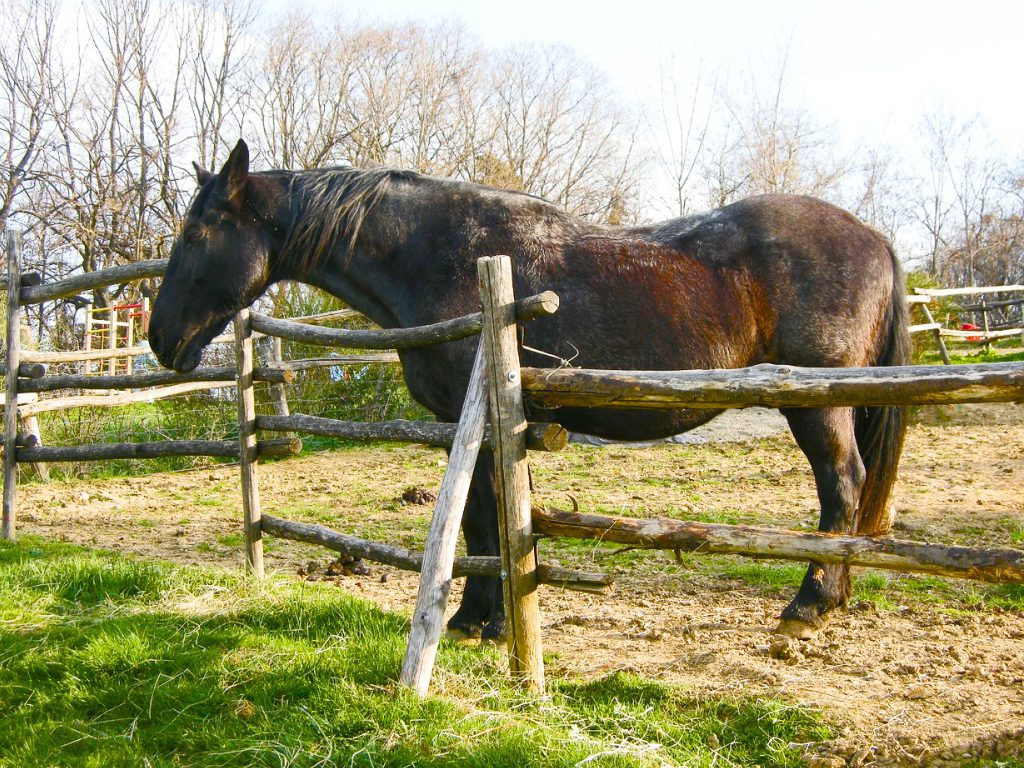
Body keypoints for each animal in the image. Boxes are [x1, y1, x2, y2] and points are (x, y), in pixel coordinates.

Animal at [149, 139, 909, 641]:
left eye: (198, 233)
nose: (161, 339)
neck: (442, 256)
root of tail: (876, 236)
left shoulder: (471, 423)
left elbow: (481, 518)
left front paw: (471, 619)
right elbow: (487, 519)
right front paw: (488, 618)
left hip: (818, 405)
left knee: (842, 487)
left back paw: (809, 603)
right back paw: (833, 597)